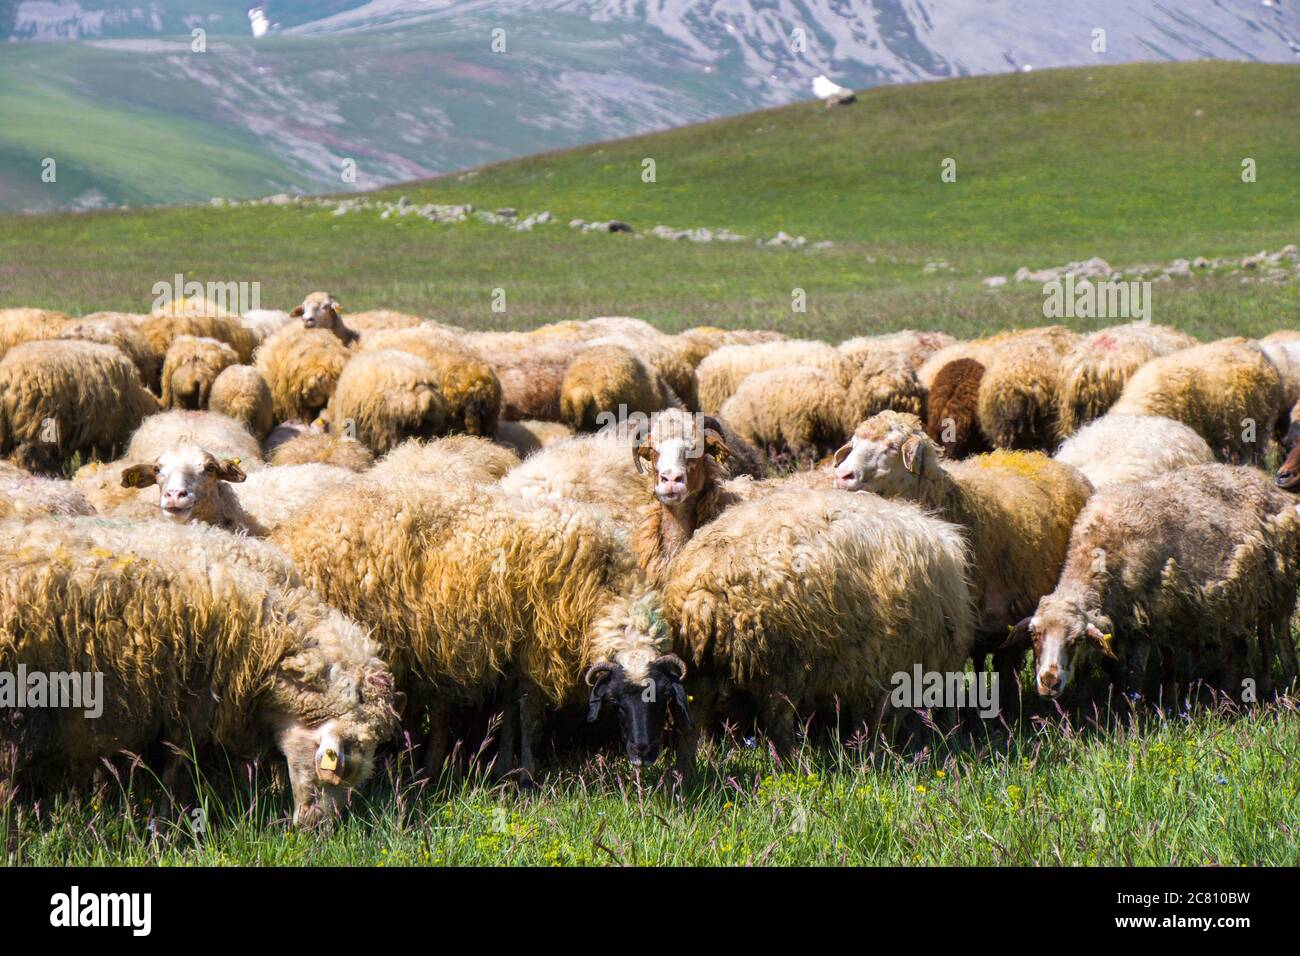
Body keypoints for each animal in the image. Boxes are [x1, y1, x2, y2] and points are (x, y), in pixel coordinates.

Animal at [0, 340, 159, 468]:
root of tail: (9, 375)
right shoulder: (106, 433)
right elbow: (101, 455)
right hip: (37, 427)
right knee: (27, 457)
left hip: (7, 431)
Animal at [659, 488, 975, 762]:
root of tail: (702, 586)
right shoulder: (891, 665)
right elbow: (879, 719)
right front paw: (876, 755)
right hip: (782, 661)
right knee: (777, 723)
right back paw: (794, 768)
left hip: (701, 667)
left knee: (690, 720)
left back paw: (690, 771)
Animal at [832, 411, 1092, 699]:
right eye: (854, 444)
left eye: (891, 447)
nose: (842, 476)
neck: (961, 508)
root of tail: (1037, 456)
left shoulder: (1009, 628)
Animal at [1024, 464, 1300, 701]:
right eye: (1034, 635)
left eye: (1075, 641)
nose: (1049, 682)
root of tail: (1264, 480)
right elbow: (1117, 668)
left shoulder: (1145, 619)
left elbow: (1135, 676)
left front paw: (1131, 713)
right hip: (1237, 597)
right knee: (1240, 649)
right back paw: (1230, 696)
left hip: (1281, 588)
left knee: (1282, 642)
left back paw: (1287, 687)